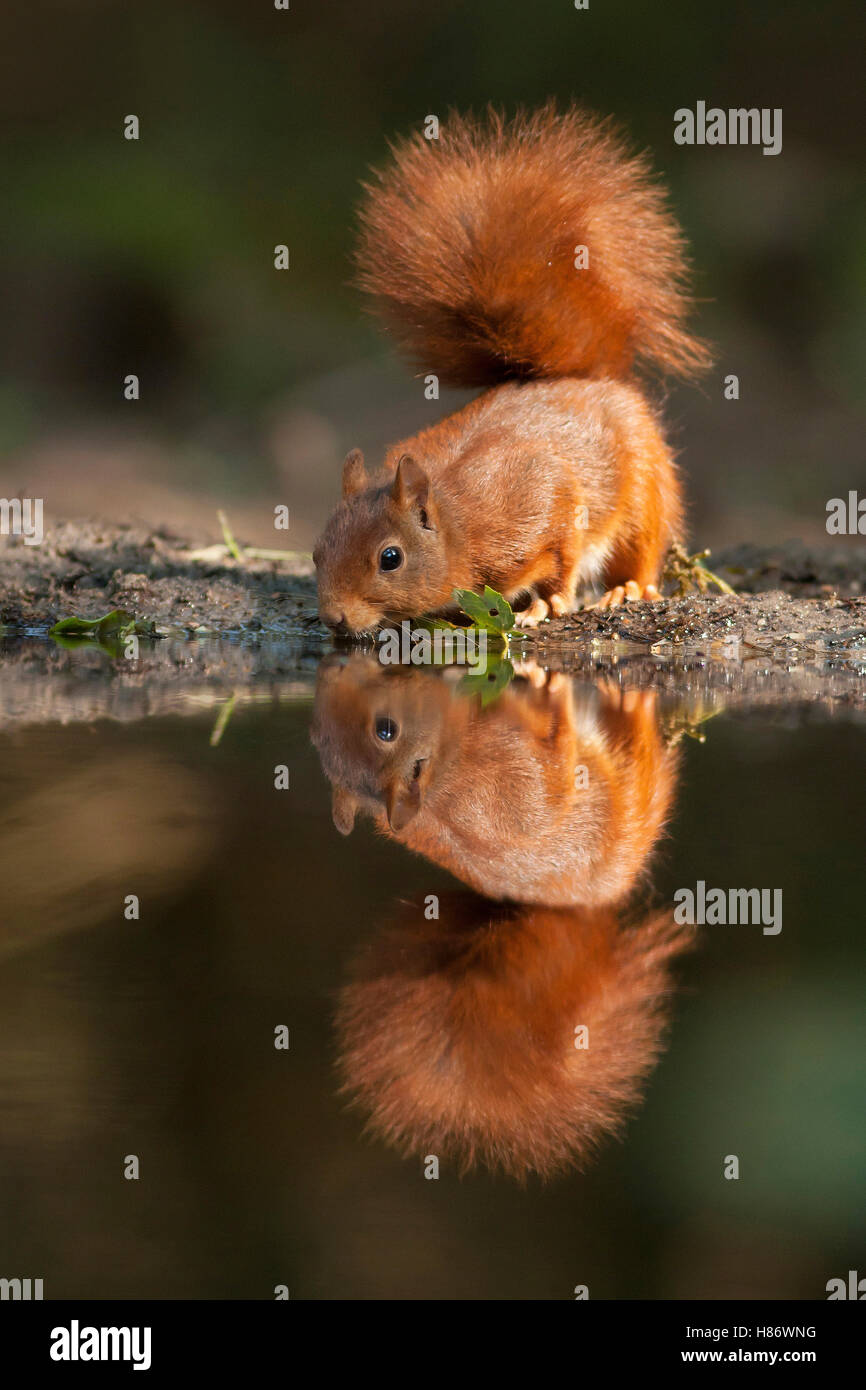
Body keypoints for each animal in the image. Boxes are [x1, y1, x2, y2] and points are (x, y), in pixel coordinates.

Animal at [313, 103, 711, 635]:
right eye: (317, 551)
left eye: (390, 558)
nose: (333, 618)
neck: (460, 525)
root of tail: (591, 378)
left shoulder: (547, 501)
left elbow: (562, 560)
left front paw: (548, 604)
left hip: (646, 494)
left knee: (642, 552)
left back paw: (627, 588)